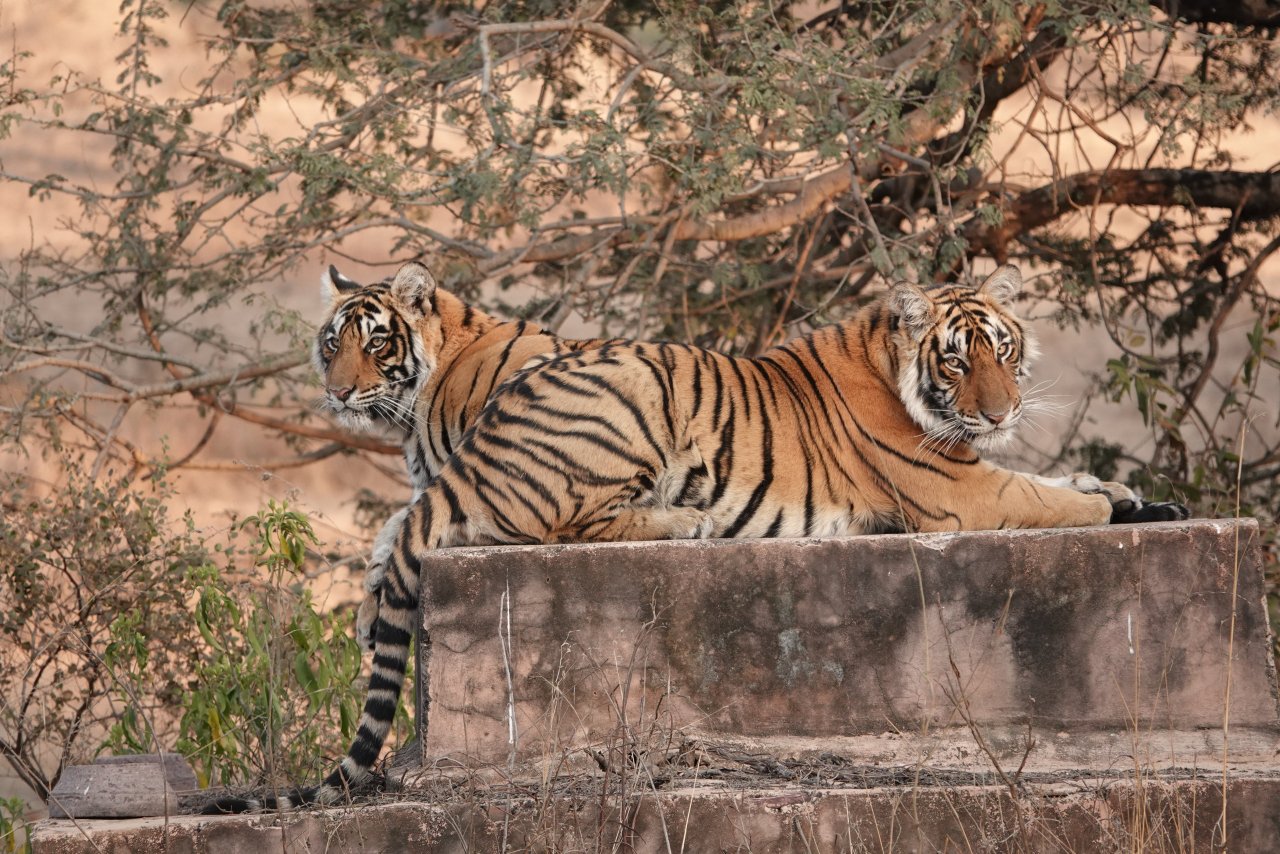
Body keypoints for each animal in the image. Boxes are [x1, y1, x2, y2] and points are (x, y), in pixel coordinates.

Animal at [205, 263, 1187, 812]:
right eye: (956, 356)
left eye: (1001, 349)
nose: (1000, 411)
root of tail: (499, 428)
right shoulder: (963, 491)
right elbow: (1058, 500)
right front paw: (1133, 507)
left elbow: (1071, 486)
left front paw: (1131, 493)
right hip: (634, 400)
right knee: (567, 525)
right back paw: (690, 519)